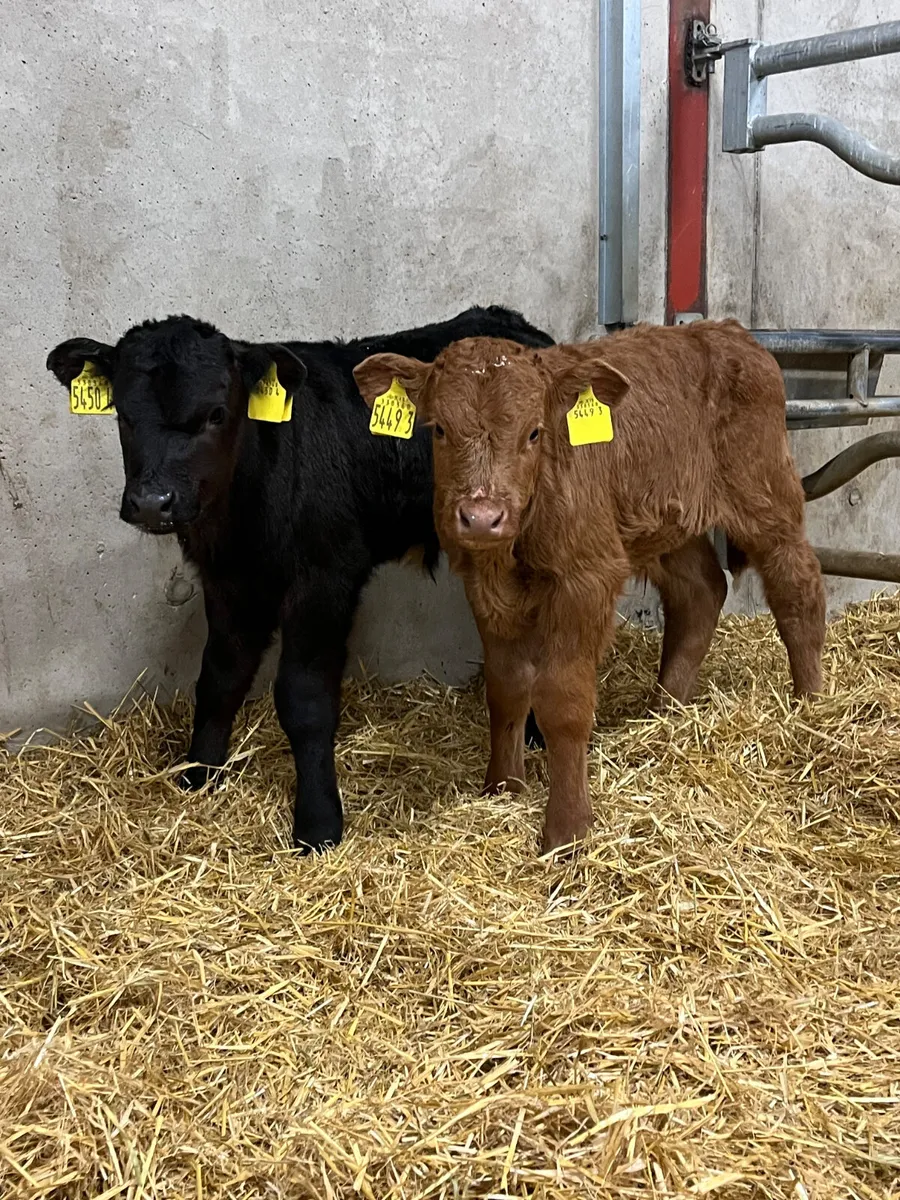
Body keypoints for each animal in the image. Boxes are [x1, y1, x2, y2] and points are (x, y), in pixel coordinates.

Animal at [47, 305, 553, 852]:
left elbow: (303, 699)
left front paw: (317, 824)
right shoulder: (228, 583)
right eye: (122, 414)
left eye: (216, 414)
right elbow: (219, 677)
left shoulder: (323, 580)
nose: (151, 502)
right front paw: (200, 772)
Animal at [353, 320, 826, 854]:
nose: (481, 516)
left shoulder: (588, 576)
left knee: (797, 583)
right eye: (439, 430)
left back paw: (810, 701)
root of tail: (729, 331)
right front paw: (502, 787)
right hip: (666, 519)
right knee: (701, 592)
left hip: (765, 492)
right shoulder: (482, 583)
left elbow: (562, 701)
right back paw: (664, 711)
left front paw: (567, 829)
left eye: (533, 432)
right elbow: (506, 687)